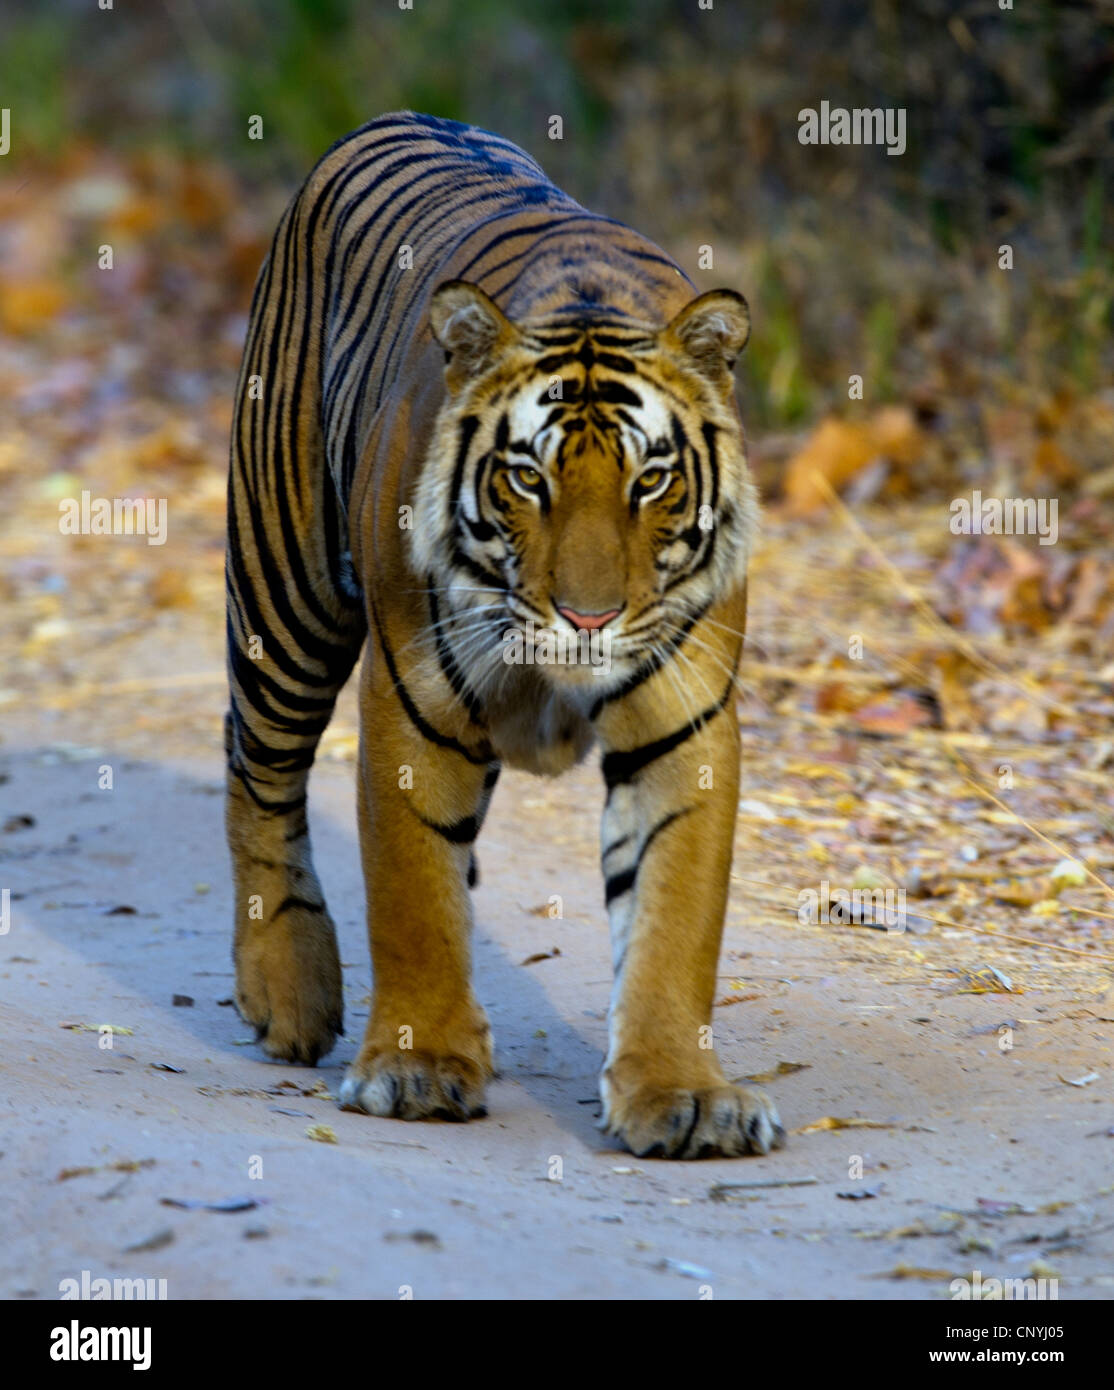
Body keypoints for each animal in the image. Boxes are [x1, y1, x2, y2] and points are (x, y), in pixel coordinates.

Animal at [225, 111, 785, 1159]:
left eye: (652, 480)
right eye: (529, 477)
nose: (589, 618)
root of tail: (404, 115)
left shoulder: (682, 717)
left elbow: (674, 916)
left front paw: (683, 1095)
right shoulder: (415, 700)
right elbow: (411, 891)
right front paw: (417, 1068)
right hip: (287, 592)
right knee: (259, 775)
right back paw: (286, 990)